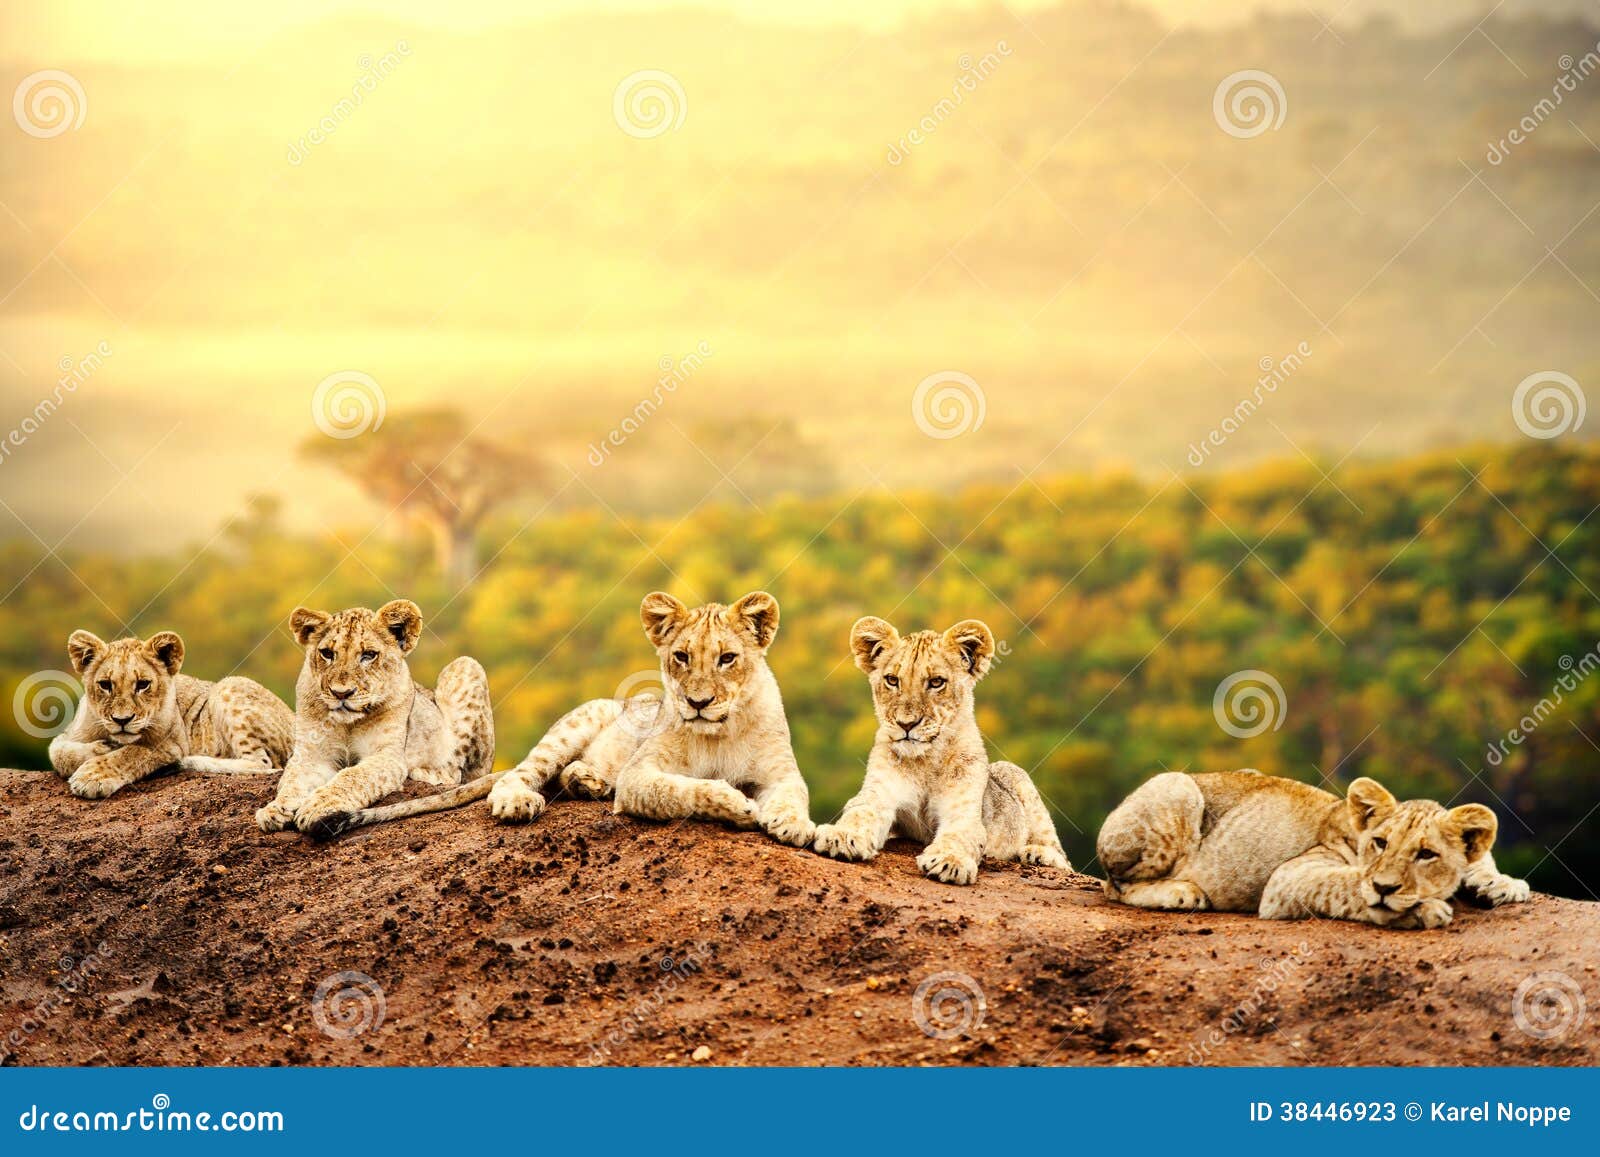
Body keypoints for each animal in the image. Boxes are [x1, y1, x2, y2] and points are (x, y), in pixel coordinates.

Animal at [48, 629, 293, 799]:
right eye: (105, 685)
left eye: (143, 684)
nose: (122, 720)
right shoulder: (69, 734)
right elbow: (57, 752)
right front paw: (99, 749)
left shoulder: (170, 743)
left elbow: (131, 753)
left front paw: (93, 776)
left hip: (229, 685)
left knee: (265, 764)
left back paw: (189, 761)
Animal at [254, 599, 494, 840]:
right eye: (327, 653)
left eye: (369, 655)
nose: (341, 693)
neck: (348, 723)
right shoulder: (311, 755)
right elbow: (293, 782)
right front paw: (275, 809)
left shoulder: (387, 756)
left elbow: (353, 776)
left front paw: (318, 805)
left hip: (465, 665)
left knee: (458, 772)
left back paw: (427, 773)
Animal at [811, 616, 1071, 885]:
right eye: (892, 680)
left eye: (936, 682)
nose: (906, 724)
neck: (925, 760)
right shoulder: (879, 794)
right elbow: (860, 812)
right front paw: (841, 836)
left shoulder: (964, 812)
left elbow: (958, 834)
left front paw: (949, 862)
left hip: (1016, 776)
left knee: (1062, 856)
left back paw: (1036, 854)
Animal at [1097, 770, 1532, 929]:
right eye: (1380, 843)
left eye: (1426, 854)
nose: (1386, 887)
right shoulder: (1285, 881)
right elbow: (1348, 884)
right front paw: (1418, 909)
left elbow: (1480, 857)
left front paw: (1502, 884)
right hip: (1179, 787)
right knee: (1115, 886)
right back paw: (1182, 892)